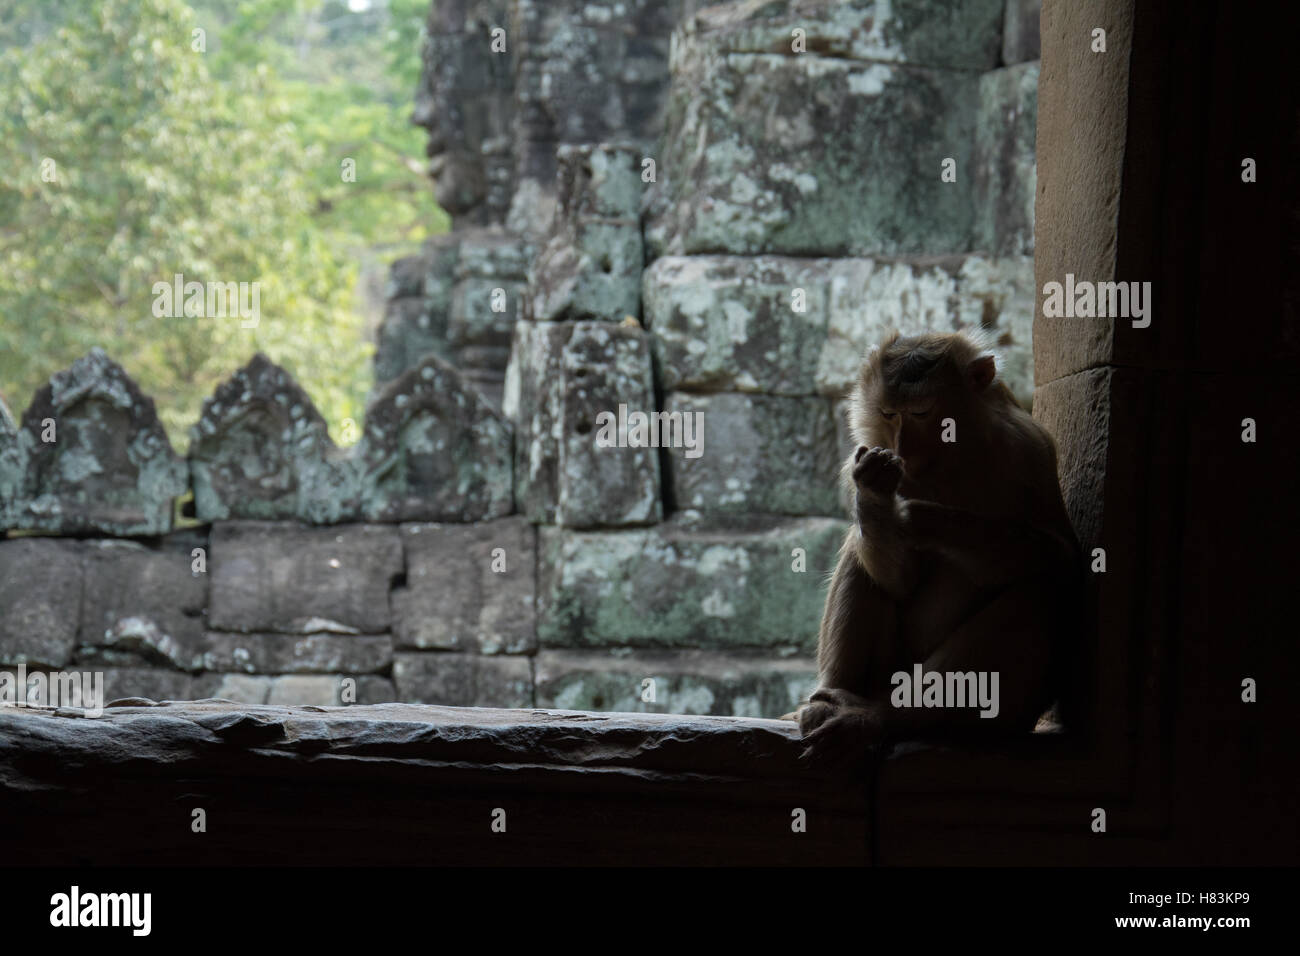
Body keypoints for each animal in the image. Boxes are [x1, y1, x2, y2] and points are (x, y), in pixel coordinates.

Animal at [796, 330, 1083, 763]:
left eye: (921, 413)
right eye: (888, 413)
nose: (903, 450)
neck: (953, 456)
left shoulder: (1029, 447)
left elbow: (1059, 554)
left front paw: (927, 520)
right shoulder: (861, 452)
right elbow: (899, 580)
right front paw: (875, 495)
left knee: (1038, 591)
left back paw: (880, 718)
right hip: (888, 671)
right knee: (859, 555)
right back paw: (831, 703)